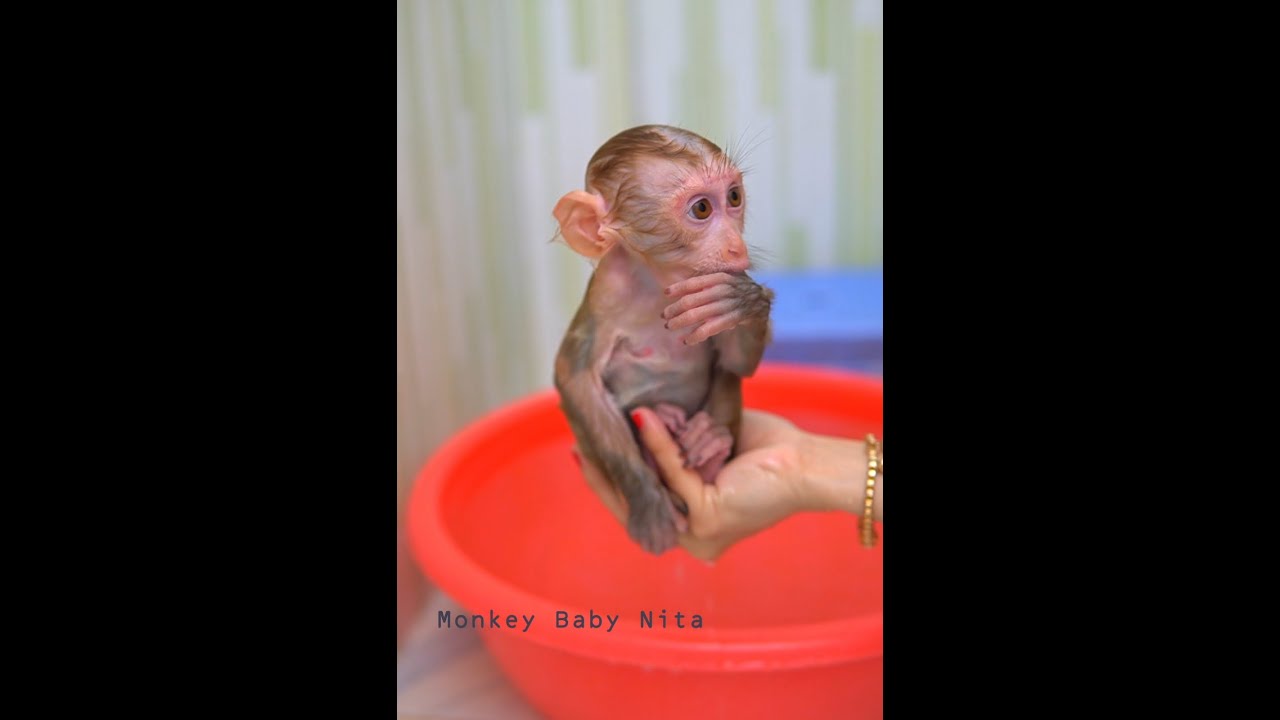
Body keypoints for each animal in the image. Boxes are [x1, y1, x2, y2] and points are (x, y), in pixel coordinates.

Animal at [552, 125, 774, 555]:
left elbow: (737, 364)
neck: (659, 281)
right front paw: (648, 502)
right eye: (701, 209)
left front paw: (741, 298)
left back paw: (711, 442)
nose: (736, 247)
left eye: (733, 198)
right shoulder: (607, 292)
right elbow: (575, 376)